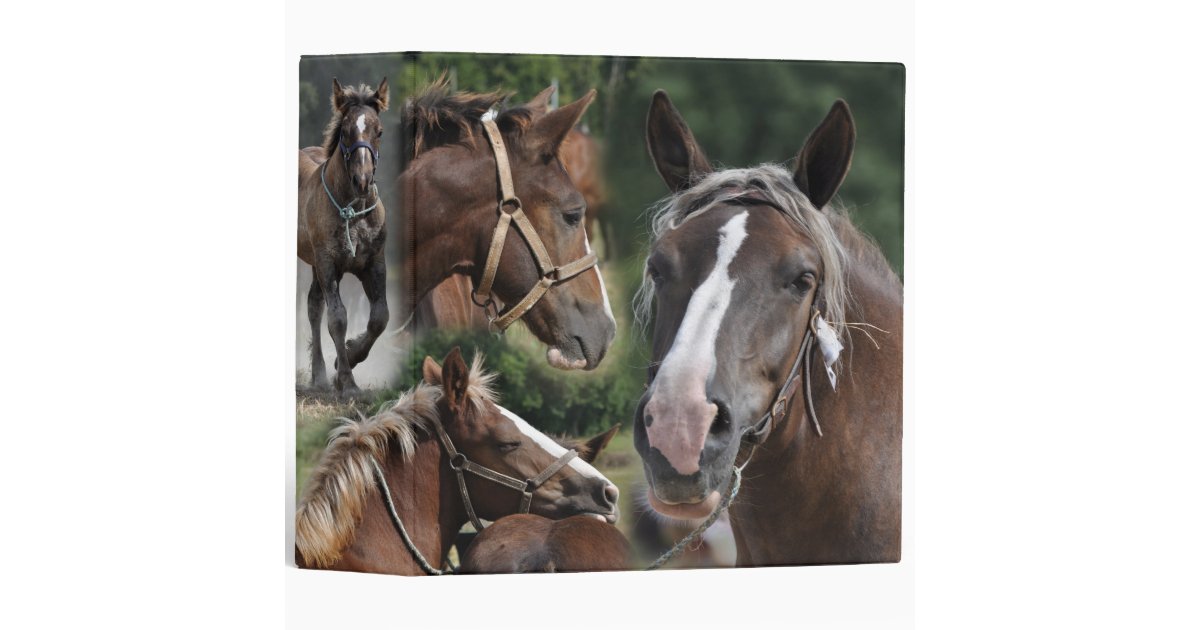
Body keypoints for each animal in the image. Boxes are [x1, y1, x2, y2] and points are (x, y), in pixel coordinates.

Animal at [298, 78, 390, 394]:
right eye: (346, 131)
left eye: (379, 131)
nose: (362, 181)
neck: (354, 212)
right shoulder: (328, 263)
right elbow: (337, 318)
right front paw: (347, 380)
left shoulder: (373, 263)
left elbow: (380, 317)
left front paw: (348, 356)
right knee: (316, 309)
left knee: (313, 305)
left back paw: (319, 375)